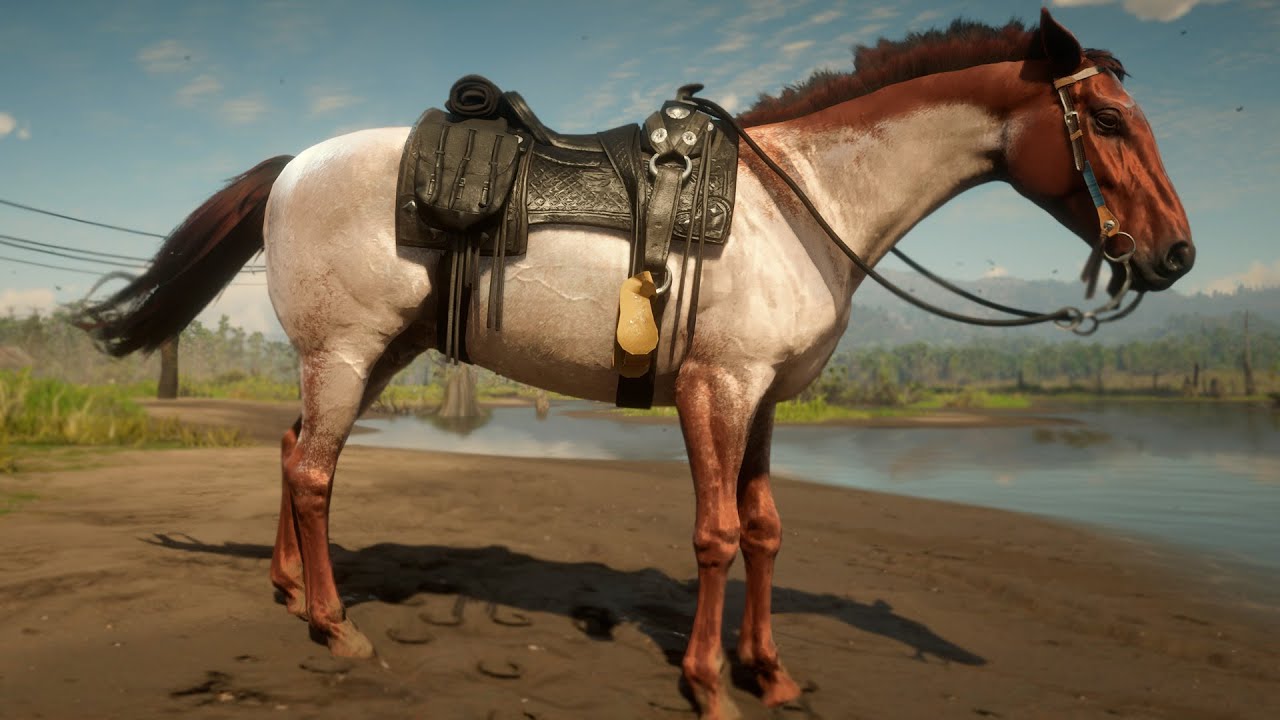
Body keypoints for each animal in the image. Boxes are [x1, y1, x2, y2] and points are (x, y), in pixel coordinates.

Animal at [78, 9, 1193, 719]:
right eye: (1102, 121)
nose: (1175, 254)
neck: (800, 201)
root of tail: (290, 166)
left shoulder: (765, 401)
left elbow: (764, 531)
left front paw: (769, 672)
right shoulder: (715, 389)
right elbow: (714, 536)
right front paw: (707, 682)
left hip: (369, 356)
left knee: (293, 451)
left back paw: (284, 589)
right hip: (347, 352)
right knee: (312, 473)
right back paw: (333, 626)